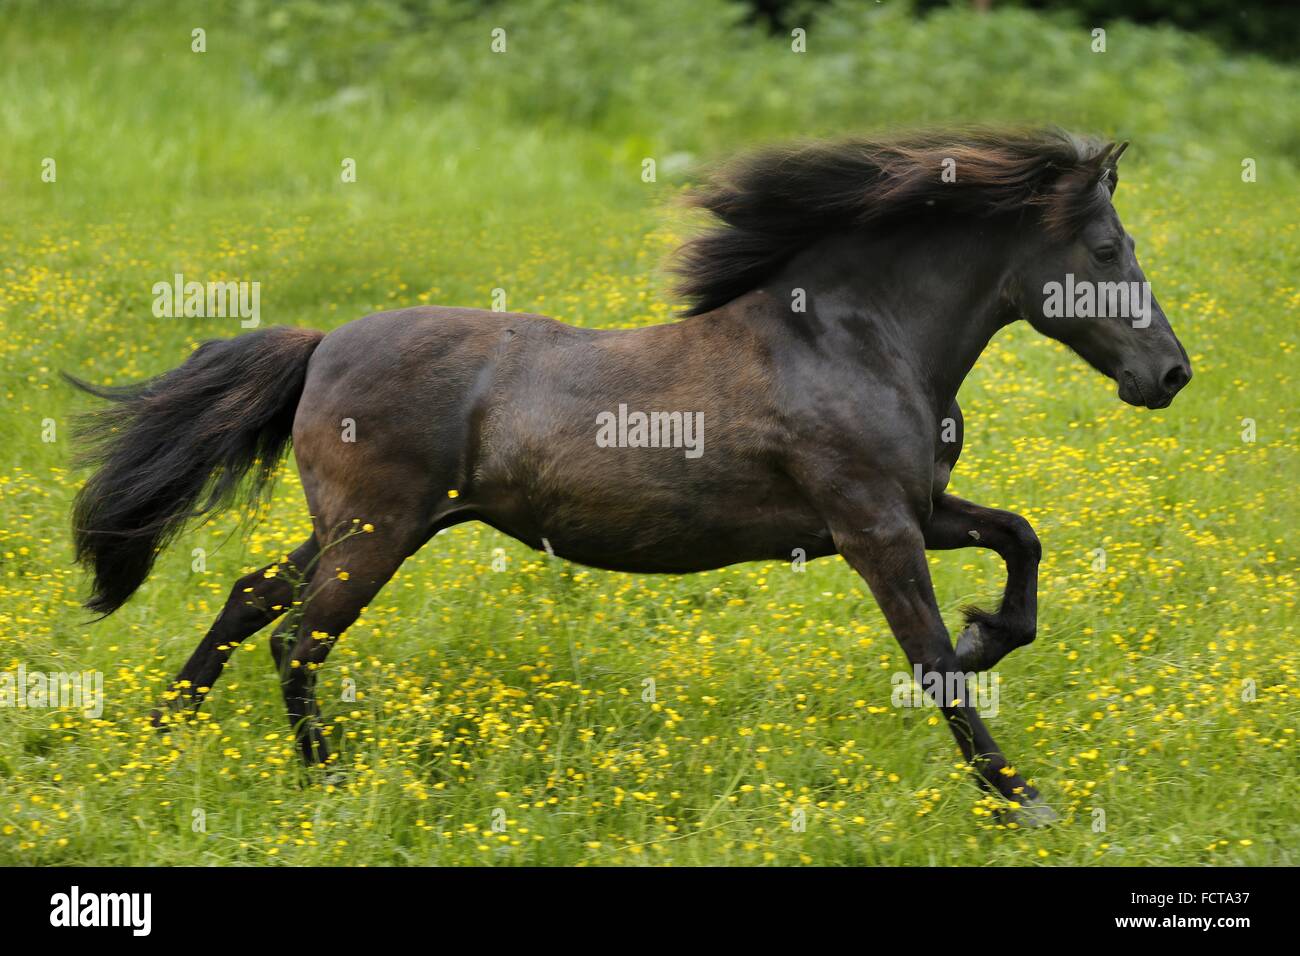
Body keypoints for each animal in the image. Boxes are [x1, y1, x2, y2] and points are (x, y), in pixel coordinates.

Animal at [67, 128, 1190, 823]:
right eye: (1104, 247)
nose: (1170, 373)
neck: (852, 340)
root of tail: (322, 342)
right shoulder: (873, 527)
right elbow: (933, 667)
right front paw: (1024, 798)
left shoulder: (913, 509)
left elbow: (1020, 538)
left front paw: (990, 630)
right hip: (377, 530)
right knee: (298, 635)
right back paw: (324, 783)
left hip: (366, 524)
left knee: (249, 595)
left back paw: (160, 738)